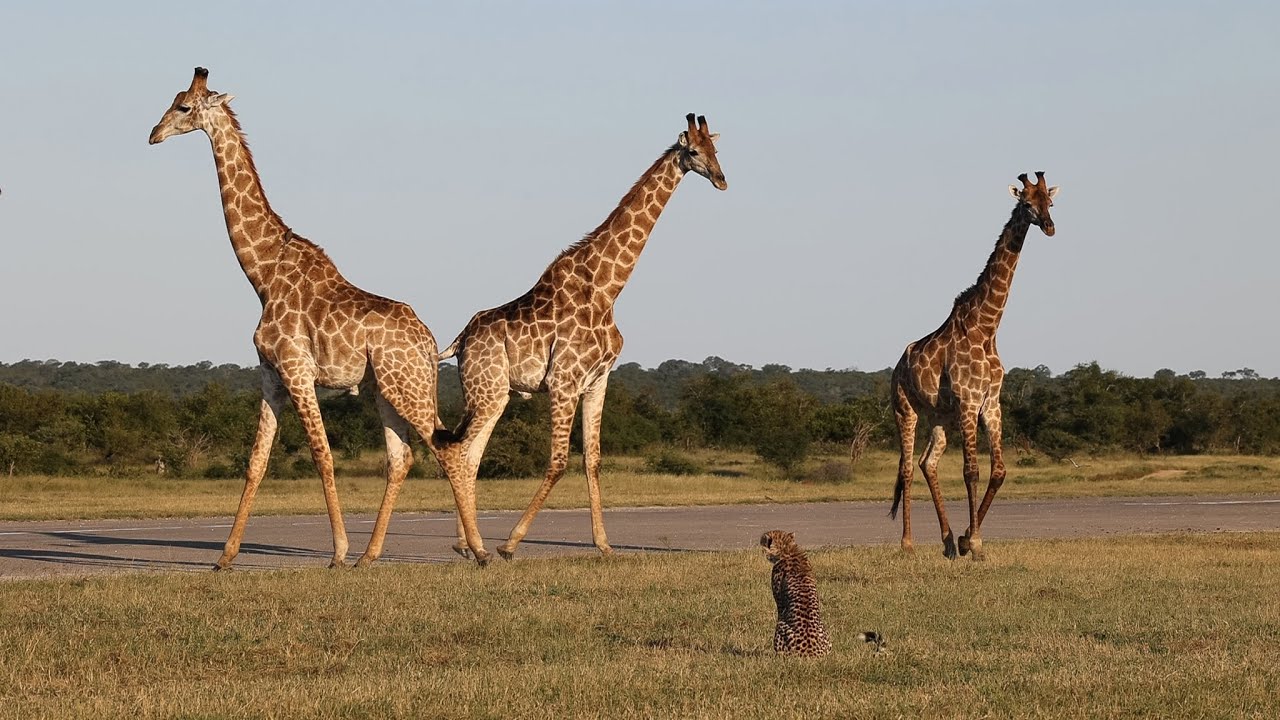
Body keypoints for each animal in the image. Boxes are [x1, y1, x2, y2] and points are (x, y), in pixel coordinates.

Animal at [148, 67, 488, 569]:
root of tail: (429, 343)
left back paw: (478, 550)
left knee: (450, 450)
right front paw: (225, 557)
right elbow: (256, 461)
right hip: (385, 389)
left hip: (406, 387)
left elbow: (322, 454)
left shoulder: (298, 370)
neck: (263, 273)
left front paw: (338, 552)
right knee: (403, 458)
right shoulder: (271, 375)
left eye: (184, 107)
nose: (153, 134)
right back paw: (372, 555)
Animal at [439, 113, 727, 560]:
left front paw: (605, 545)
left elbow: (592, 460)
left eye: (717, 151)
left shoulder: (597, 380)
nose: (721, 179)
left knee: (468, 456)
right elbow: (558, 460)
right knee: (458, 451)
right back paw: (479, 546)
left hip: (493, 392)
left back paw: (469, 544)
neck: (607, 289)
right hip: (486, 389)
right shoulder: (564, 380)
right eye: (694, 152)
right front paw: (511, 543)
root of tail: (460, 341)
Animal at [889, 172, 1059, 561]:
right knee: (906, 469)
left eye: (1050, 202)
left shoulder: (991, 404)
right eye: (1027, 203)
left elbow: (999, 471)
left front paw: (968, 539)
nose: (1050, 227)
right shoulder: (968, 402)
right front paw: (977, 543)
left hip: (941, 418)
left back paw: (948, 541)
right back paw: (907, 544)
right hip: (906, 410)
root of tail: (896, 367)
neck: (987, 327)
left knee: (927, 463)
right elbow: (972, 472)